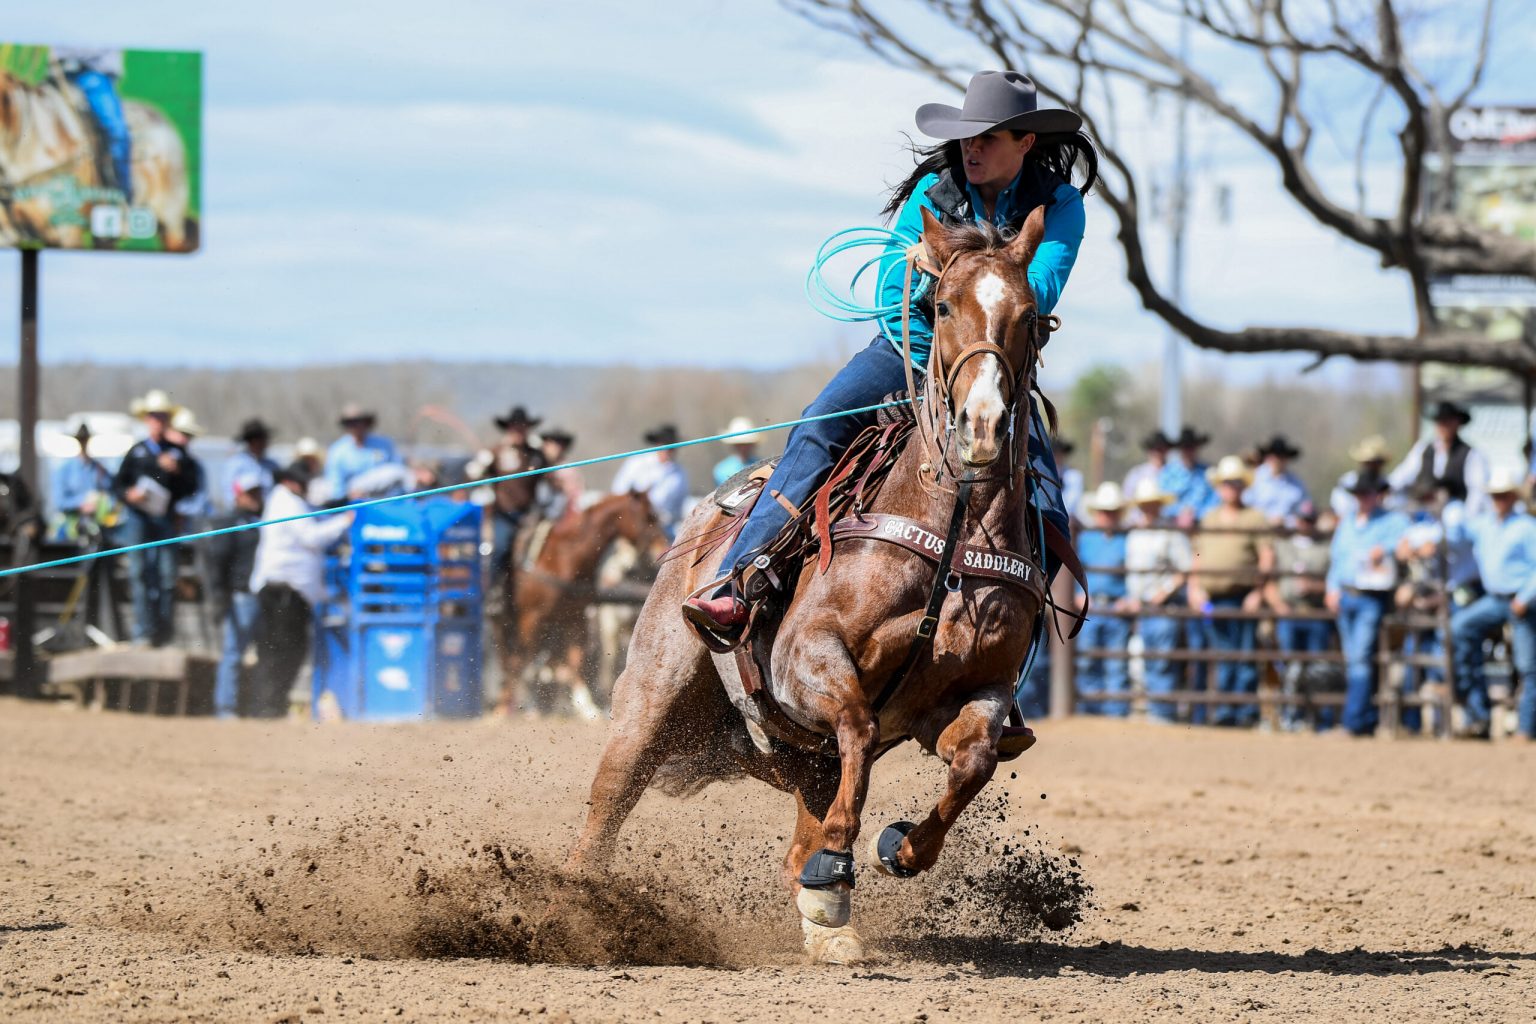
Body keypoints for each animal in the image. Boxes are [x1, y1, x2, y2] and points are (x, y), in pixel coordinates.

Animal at [496, 491, 670, 718]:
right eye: (649, 517)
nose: (663, 546)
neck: (564, 558)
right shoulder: (531, 618)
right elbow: (529, 660)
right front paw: (531, 703)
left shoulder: (576, 619)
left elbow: (574, 662)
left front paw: (586, 706)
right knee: (512, 659)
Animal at [567, 206, 1056, 963]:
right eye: (942, 305)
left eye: (1031, 316)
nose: (981, 427)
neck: (948, 539)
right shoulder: (806, 657)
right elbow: (857, 720)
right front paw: (839, 865)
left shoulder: (978, 690)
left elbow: (972, 760)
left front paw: (897, 849)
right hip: (651, 700)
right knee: (605, 812)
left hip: (802, 757)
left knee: (804, 831)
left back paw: (830, 925)